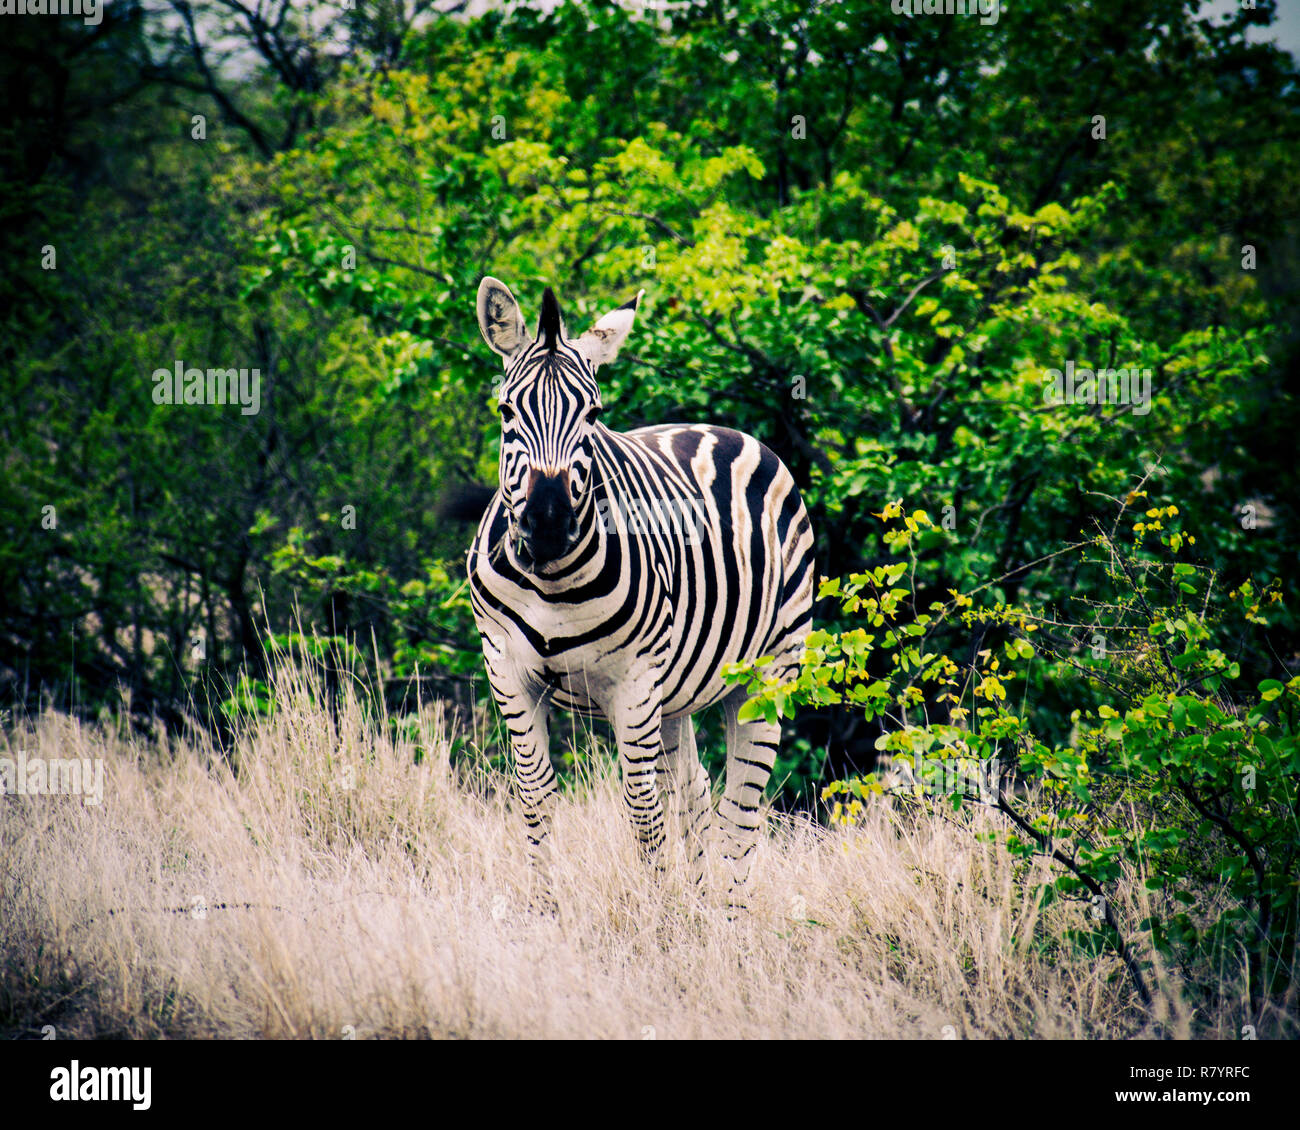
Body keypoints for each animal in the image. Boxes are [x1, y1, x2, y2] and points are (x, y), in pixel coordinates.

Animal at [467, 276, 814, 911]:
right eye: (506, 411)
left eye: (594, 414)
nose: (548, 523)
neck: (551, 580)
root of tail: (712, 428)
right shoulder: (508, 672)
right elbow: (536, 799)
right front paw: (544, 910)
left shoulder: (633, 684)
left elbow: (642, 811)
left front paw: (653, 917)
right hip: (674, 694)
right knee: (696, 790)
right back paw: (700, 907)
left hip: (765, 673)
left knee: (740, 809)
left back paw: (729, 918)